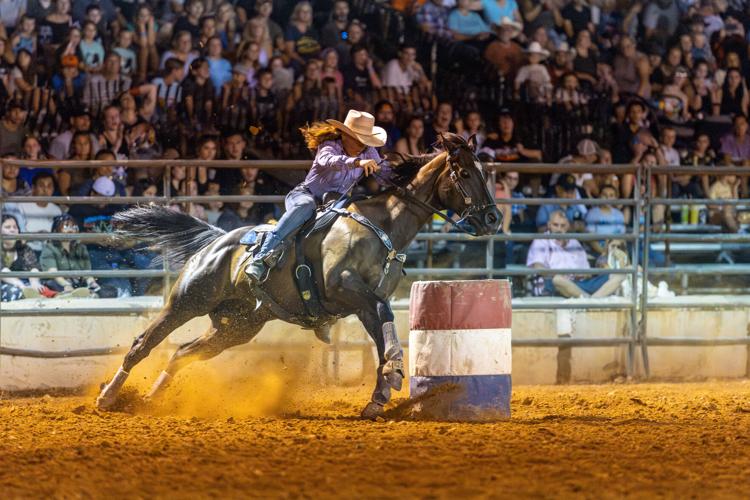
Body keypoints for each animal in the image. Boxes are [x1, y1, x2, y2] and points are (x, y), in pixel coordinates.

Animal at [96, 133, 501, 419]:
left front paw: (379, 394)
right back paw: (108, 396)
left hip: (236, 326)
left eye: (485, 171)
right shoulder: (347, 288)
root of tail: (216, 241)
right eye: (465, 173)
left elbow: (382, 329)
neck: (382, 226)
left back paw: (152, 399)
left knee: (182, 353)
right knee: (144, 343)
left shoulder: (366, 303)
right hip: (187, 300)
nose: (494, 218)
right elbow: (386, 322)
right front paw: (396, 371)